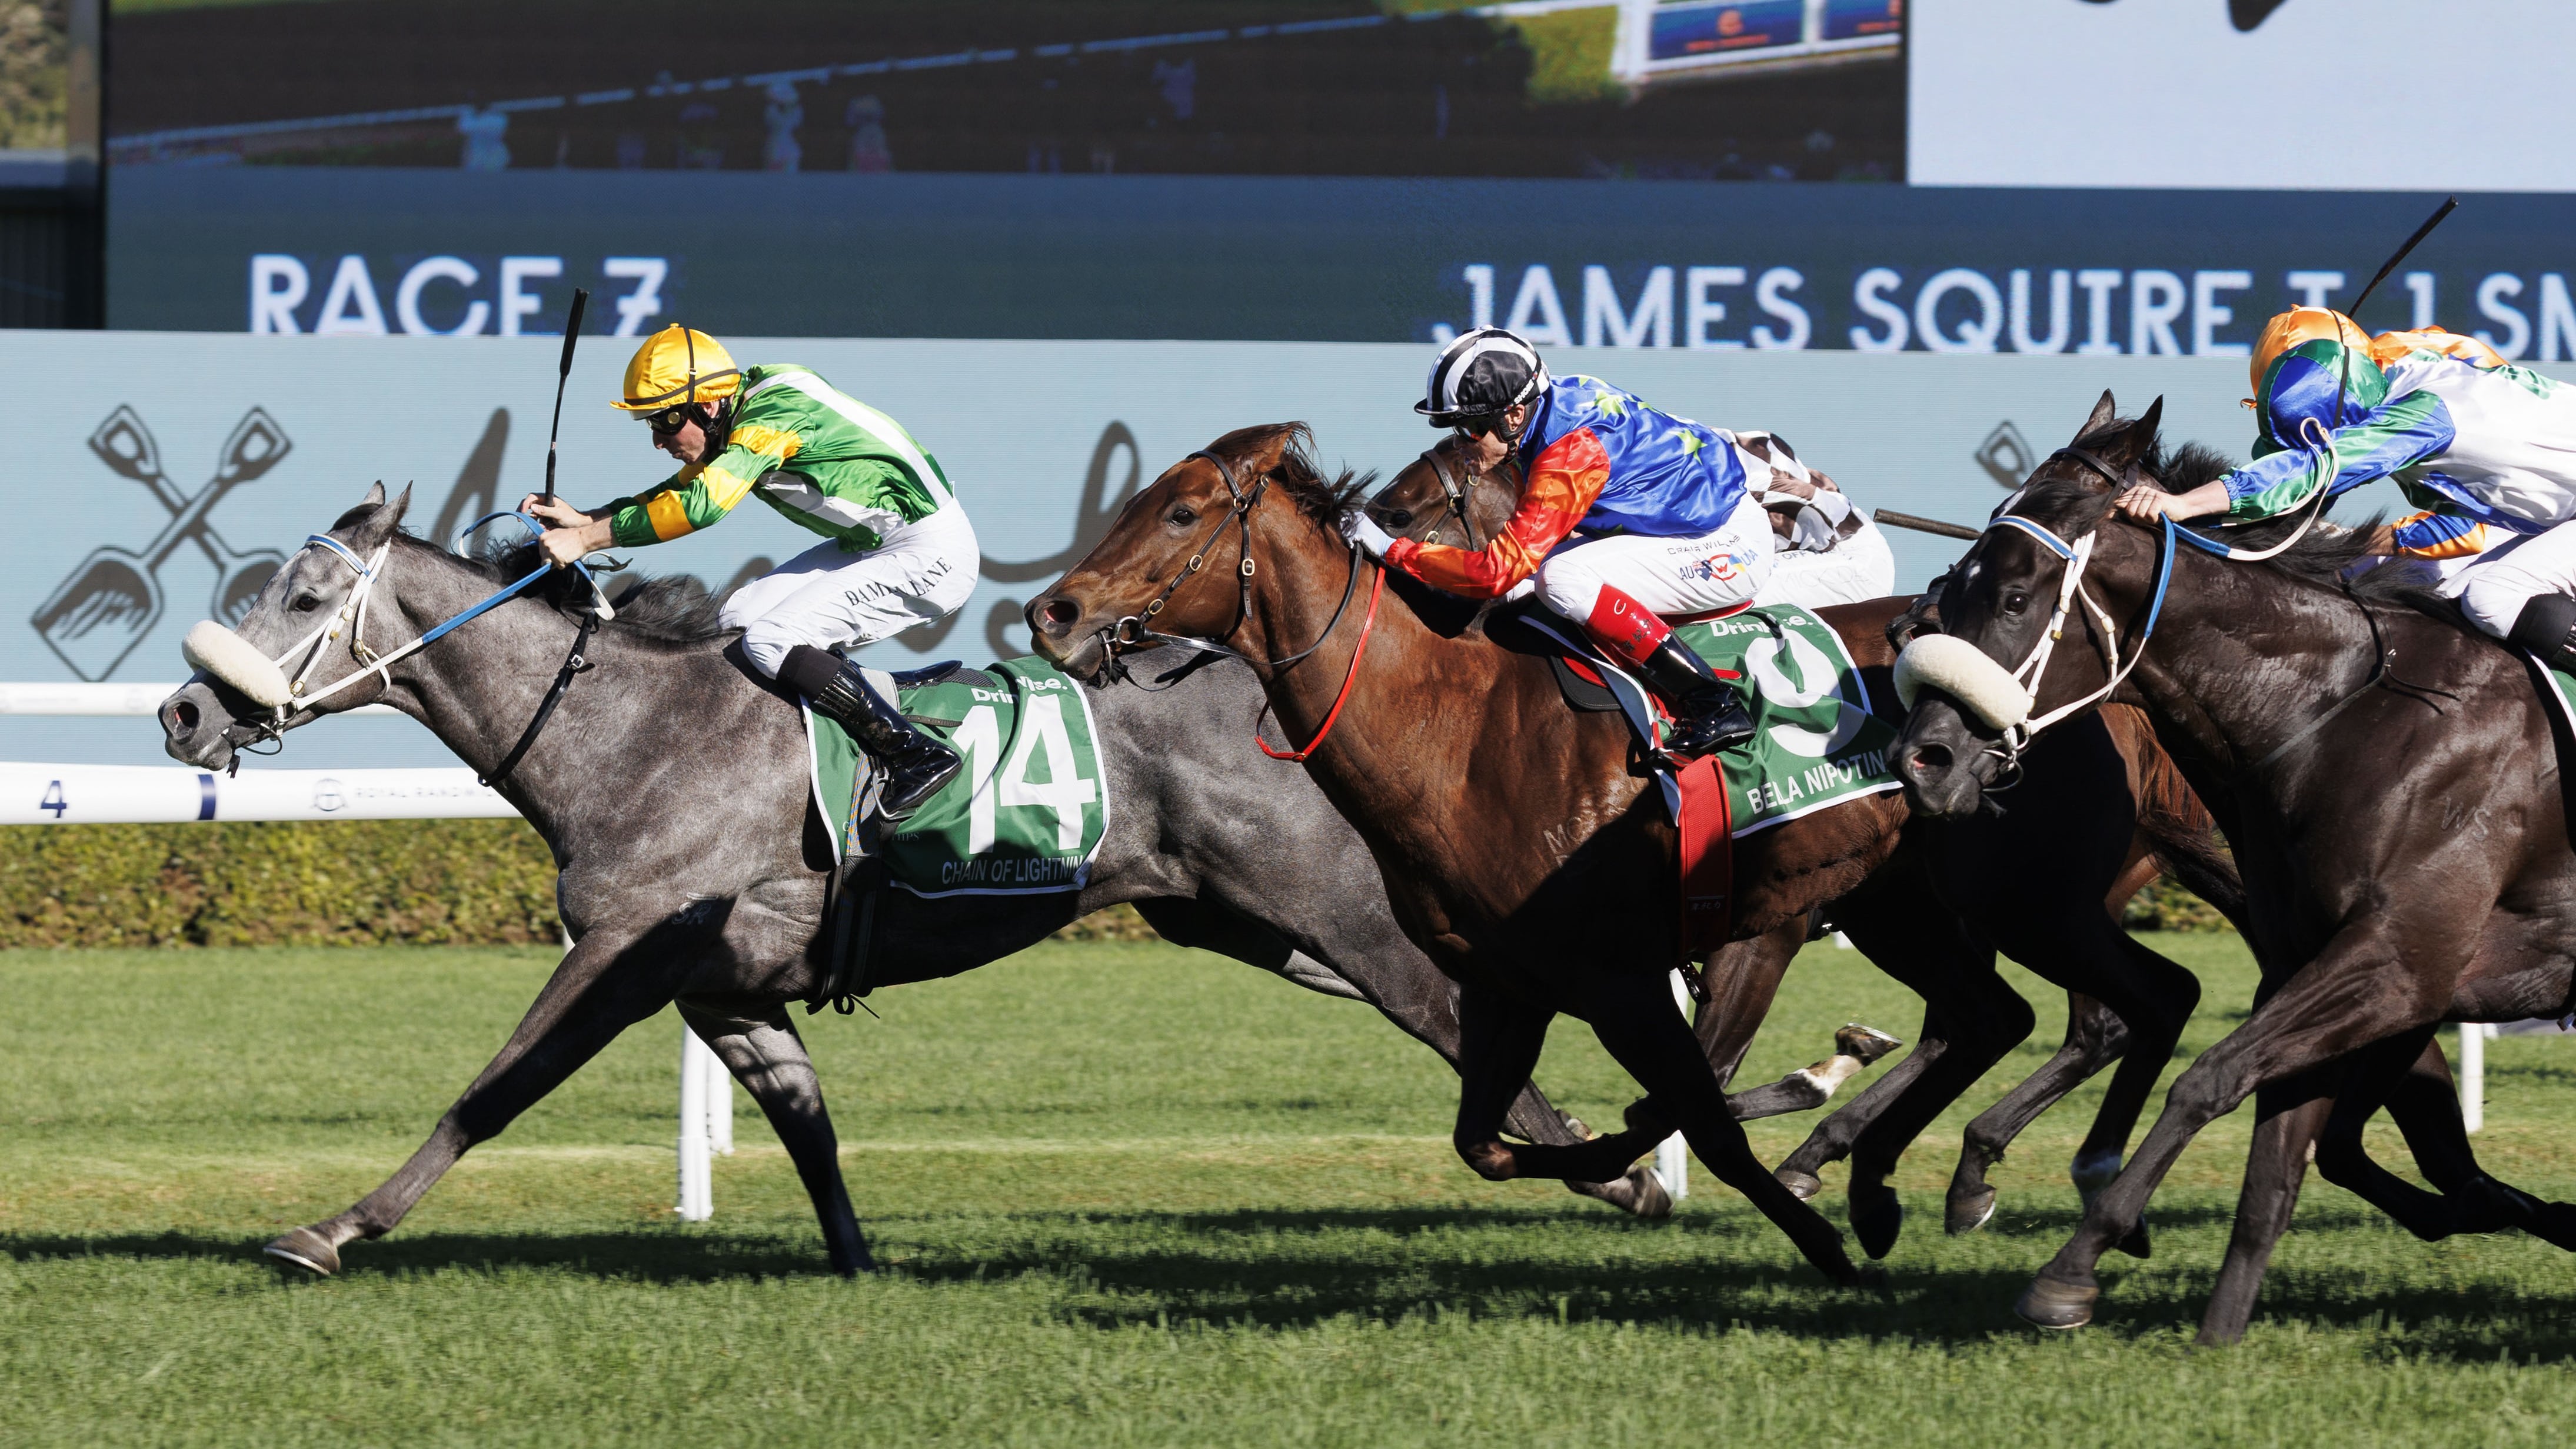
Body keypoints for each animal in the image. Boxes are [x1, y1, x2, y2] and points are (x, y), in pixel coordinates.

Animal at [154, 484, 1902, 1276]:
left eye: (299, 591)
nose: (181, 712)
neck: (624, 729)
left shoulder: (627, 947)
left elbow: (491, 1088)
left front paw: (328, 1227)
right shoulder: (726, 987)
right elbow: (805, 1118)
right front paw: (859, 1258)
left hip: (1343, 922)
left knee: (1513, 1055)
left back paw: (1672, 1164)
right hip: (1250, 926)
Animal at [1891, 395, 2576, 1339]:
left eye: (2014, 597)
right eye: (1950, 585)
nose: (1923, 760)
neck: (2350, 713)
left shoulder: (2399, 963)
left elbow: (2206, 1079)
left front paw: (2070, 1268)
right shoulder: (2325, 966)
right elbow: (2275, 1165)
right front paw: (2218, 1326)